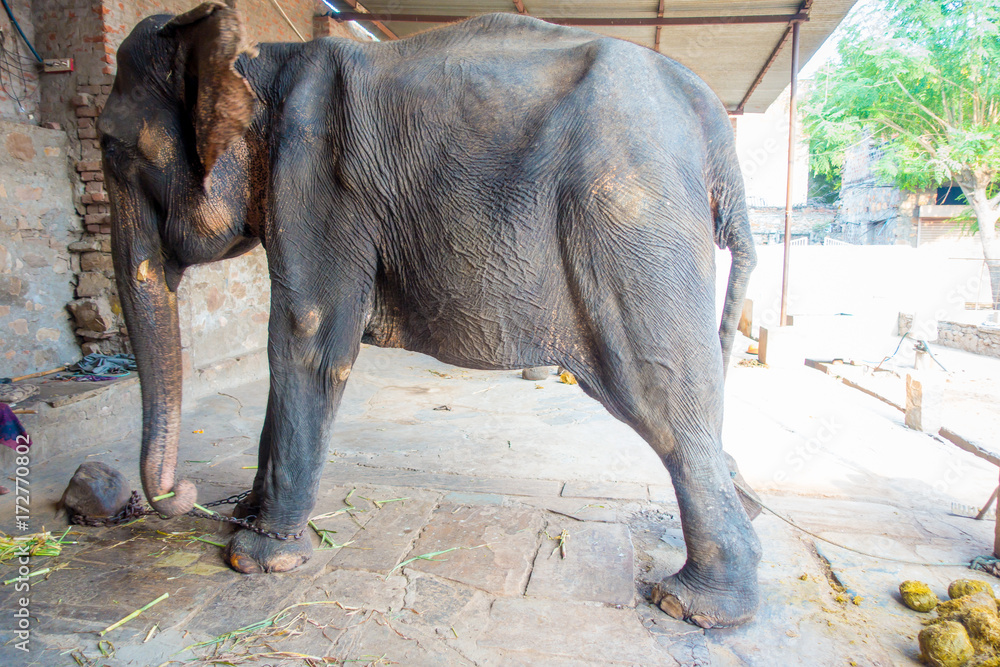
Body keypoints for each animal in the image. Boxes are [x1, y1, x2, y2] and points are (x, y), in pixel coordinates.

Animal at [98, 2, 760, 628]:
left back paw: (695, 605)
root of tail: (715, 126)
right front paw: (245, 519)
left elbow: (305, 343)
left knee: (662, 397)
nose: (185, 493)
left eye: (112, 147)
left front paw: (257, 559)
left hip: (632, 226)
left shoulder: (314, 182)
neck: (257, 60)